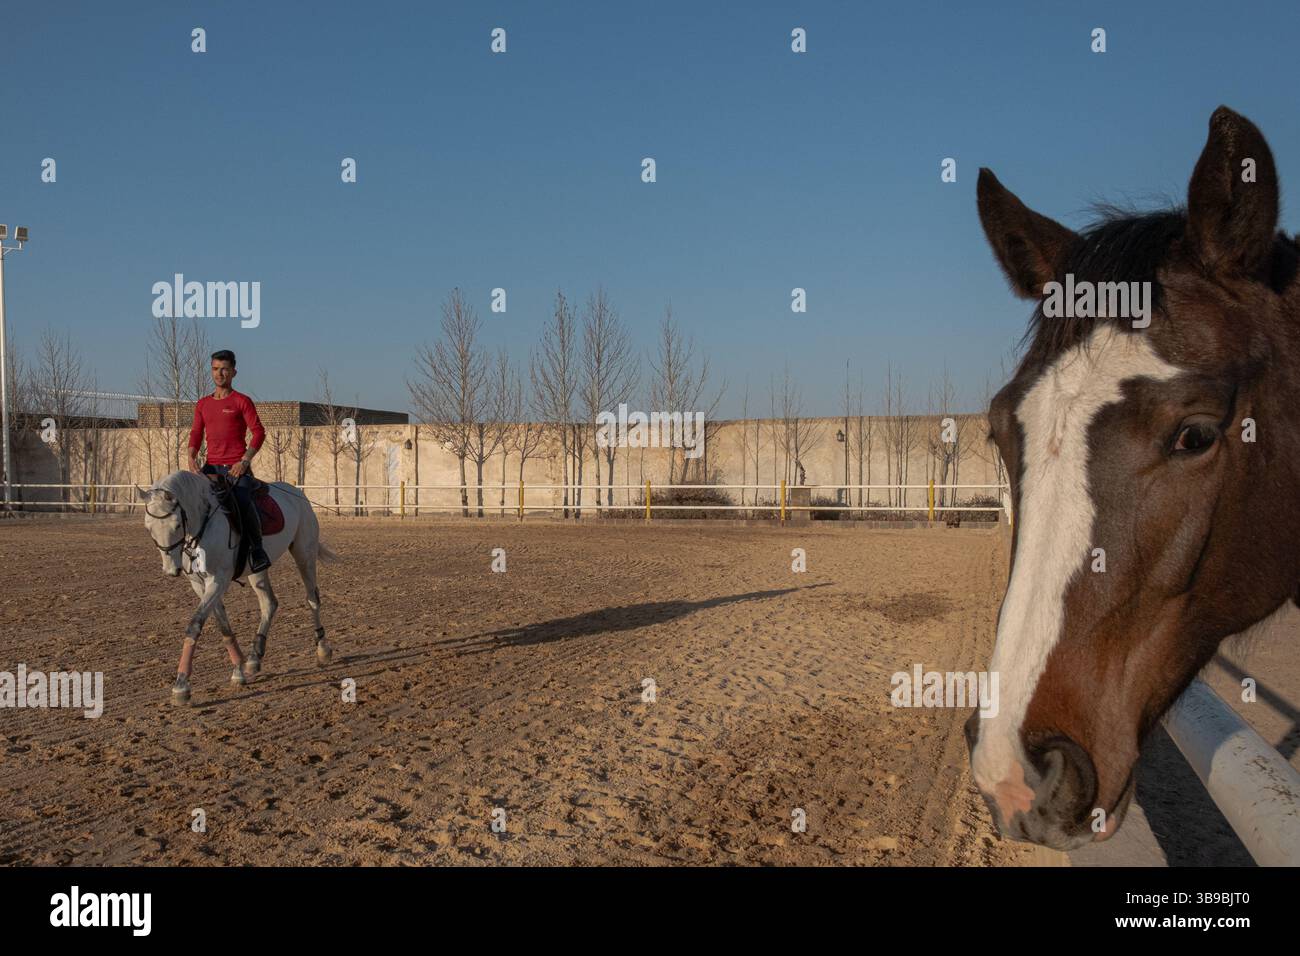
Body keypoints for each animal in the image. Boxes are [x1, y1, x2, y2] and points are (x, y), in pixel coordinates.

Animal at [137, 470, 337, 705]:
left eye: (177, 525)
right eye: (148, 528)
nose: (170, 570)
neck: (203, 525)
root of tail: (297, 493)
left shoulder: (218, 580)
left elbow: (195, 624)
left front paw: (181, 685)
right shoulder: (199, 584)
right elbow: (223, 626)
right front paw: (238, 671)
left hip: (304, 554)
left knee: (312, 598)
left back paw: (323, 649)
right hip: (257, 570)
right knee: (269, 603)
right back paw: (254, 657)